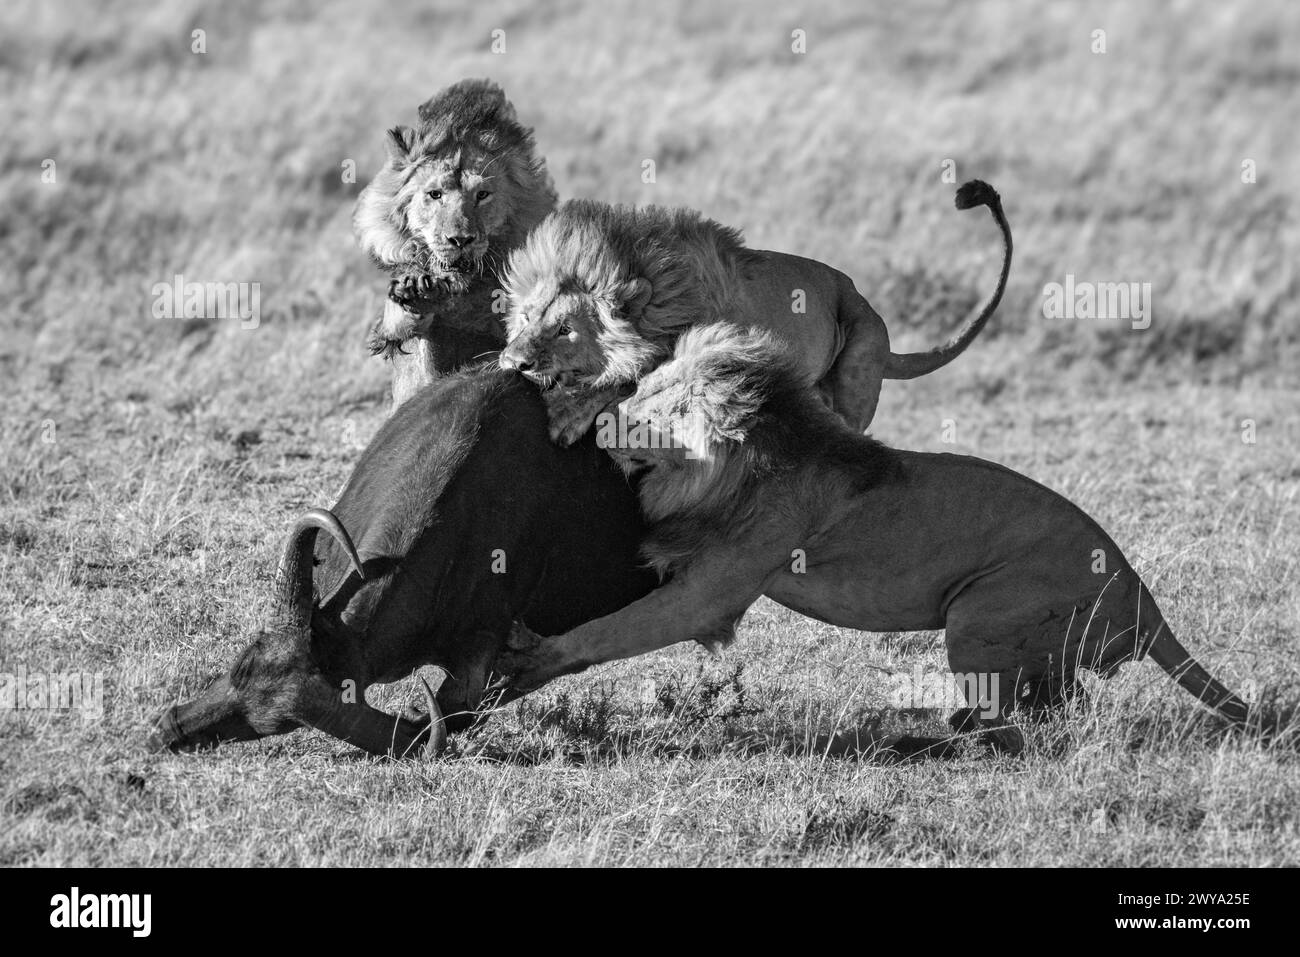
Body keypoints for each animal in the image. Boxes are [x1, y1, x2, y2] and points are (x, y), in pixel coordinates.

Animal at [494, 324, 1252, 751]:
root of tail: (1140, 592)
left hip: (976, 615)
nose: (603, 422)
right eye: (640, 392)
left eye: (655, 411)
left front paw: (530, 655)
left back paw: (921, 741)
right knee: (1053, 712)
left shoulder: (716, 589)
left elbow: (614, 630)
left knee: (1014, 735)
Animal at [497, 180, 1011, 444]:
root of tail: (870, 308)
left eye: (566, 329)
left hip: (857, 367)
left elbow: (620, 380)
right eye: (526, 318)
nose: (512, 362)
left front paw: (567, 413)